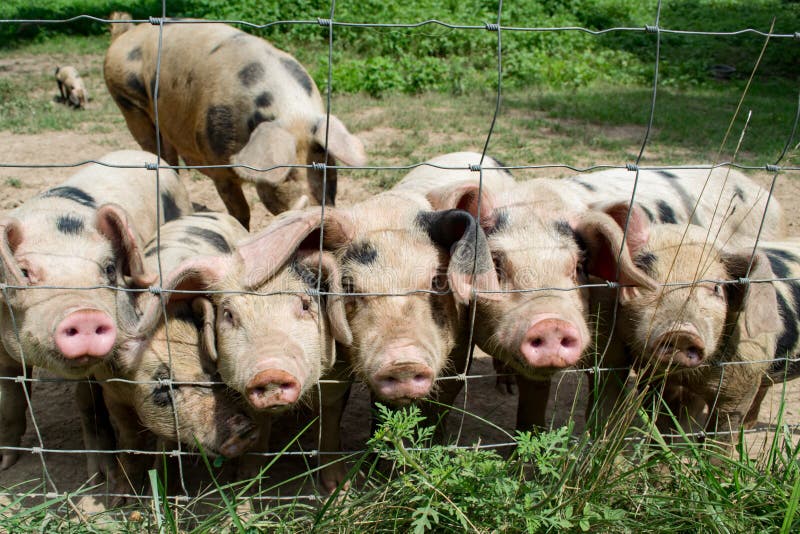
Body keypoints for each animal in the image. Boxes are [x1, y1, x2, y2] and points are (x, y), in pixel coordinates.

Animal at [0, 149, 191, 470]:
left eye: (110, 269)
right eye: (24, 272)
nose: (85, 314)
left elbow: (88, 402)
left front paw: (100, 474)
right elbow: (9, 396)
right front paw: (6, 463)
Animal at [104, 20, 367, 229]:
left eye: (325, 160)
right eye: (286, 173)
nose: (316, 214)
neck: (291, 114)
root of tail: (125, 34)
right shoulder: (217, 163)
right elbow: (240, 211)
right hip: (127, 102)